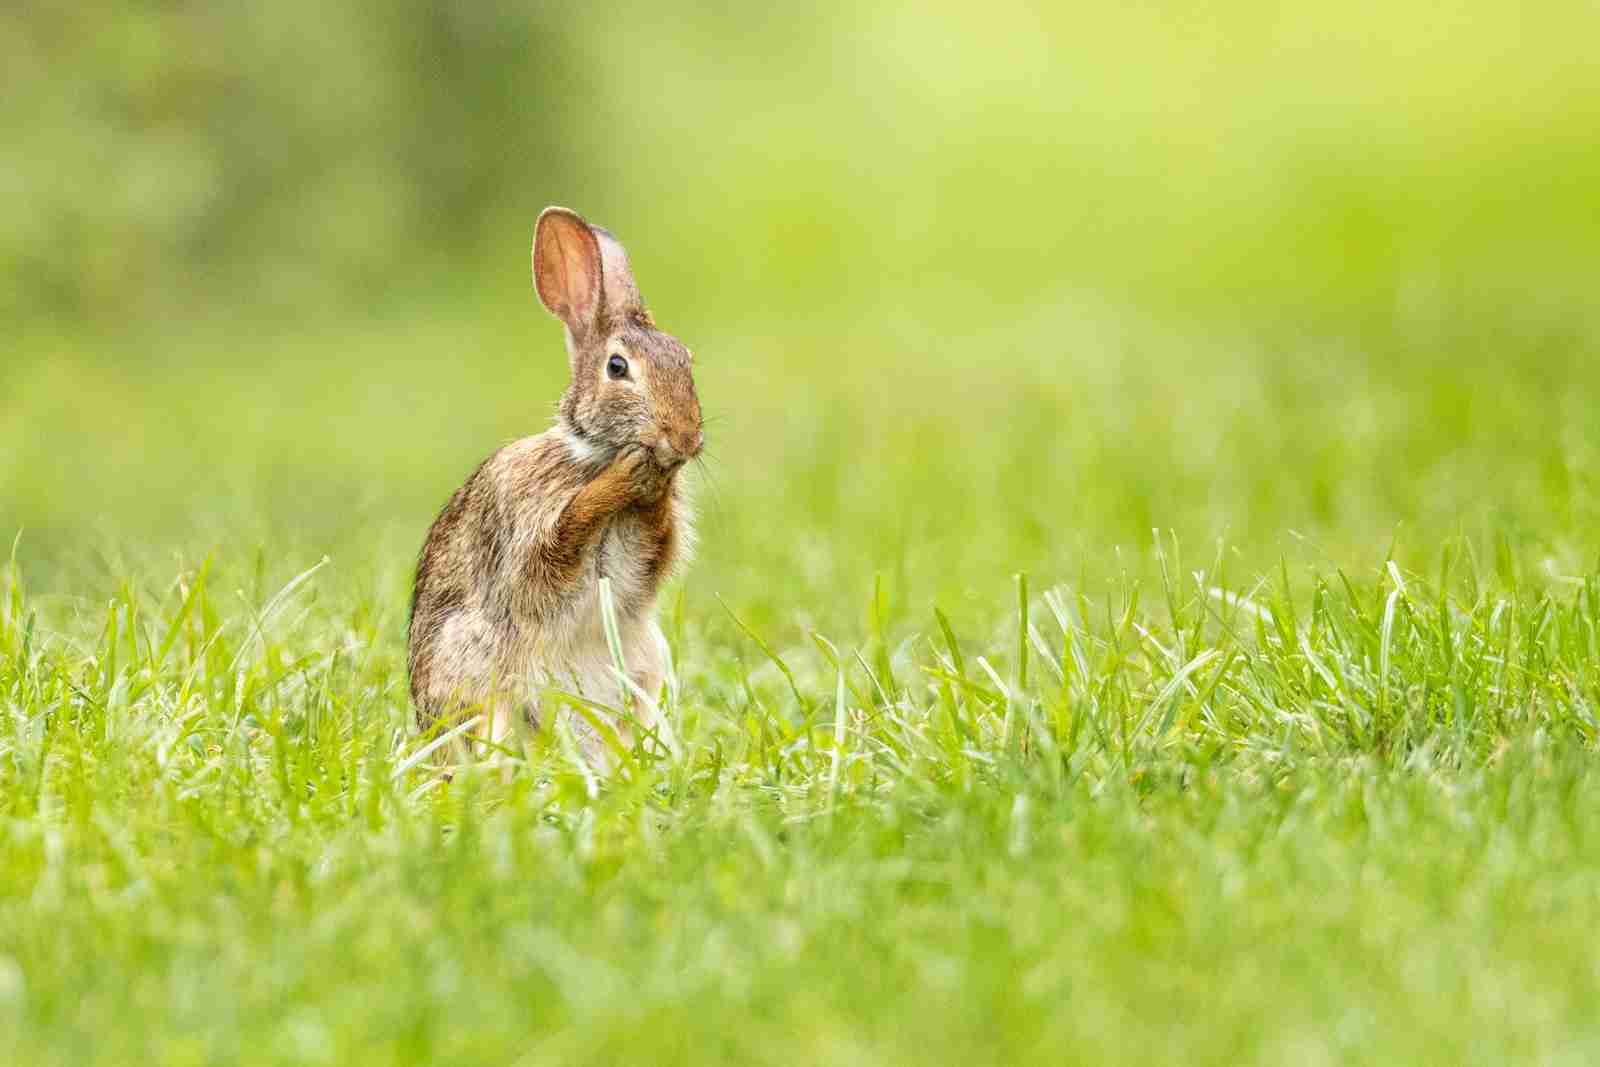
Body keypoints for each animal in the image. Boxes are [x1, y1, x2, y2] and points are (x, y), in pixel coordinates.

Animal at [407, 206, 702, 762]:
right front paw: (629, 475)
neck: (591, 453)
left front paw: (654, 486)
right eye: (617, 367)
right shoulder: (527, 531)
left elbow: (655, 545)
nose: (685, 437)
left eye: (686, 359)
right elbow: (562, 538)